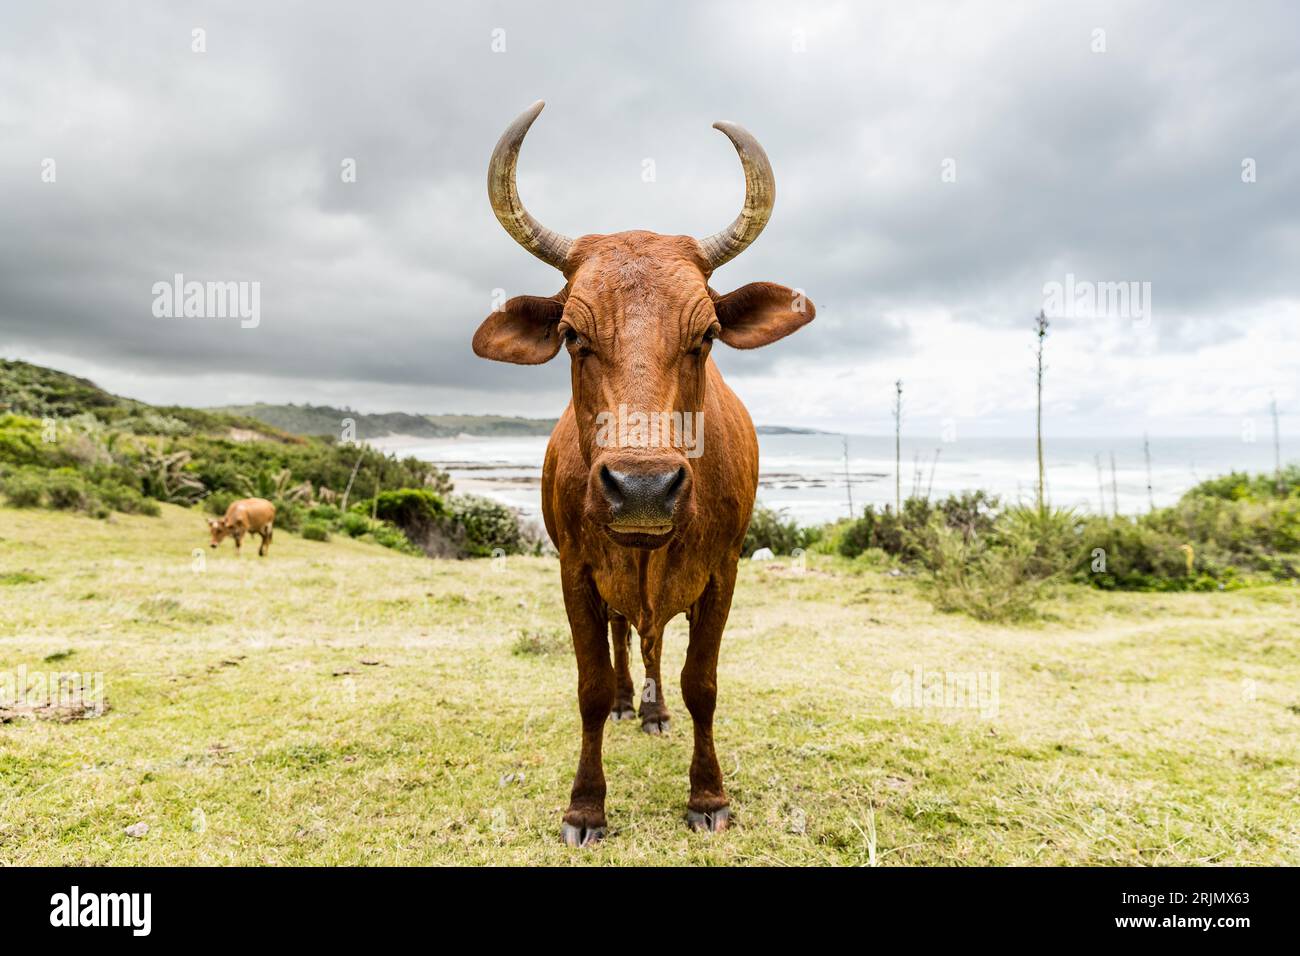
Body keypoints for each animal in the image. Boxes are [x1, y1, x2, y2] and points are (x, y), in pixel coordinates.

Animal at [473, 102, 815, 846]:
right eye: (573, 335)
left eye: (706, 335)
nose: (643, 490)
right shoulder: (574, 570)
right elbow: (591, 684)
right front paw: (585, 806)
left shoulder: (723, 571)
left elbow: (701, 684)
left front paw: (708, 795)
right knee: (627, 638)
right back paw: (634, 704)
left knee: (654, 643)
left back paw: (655, 712)